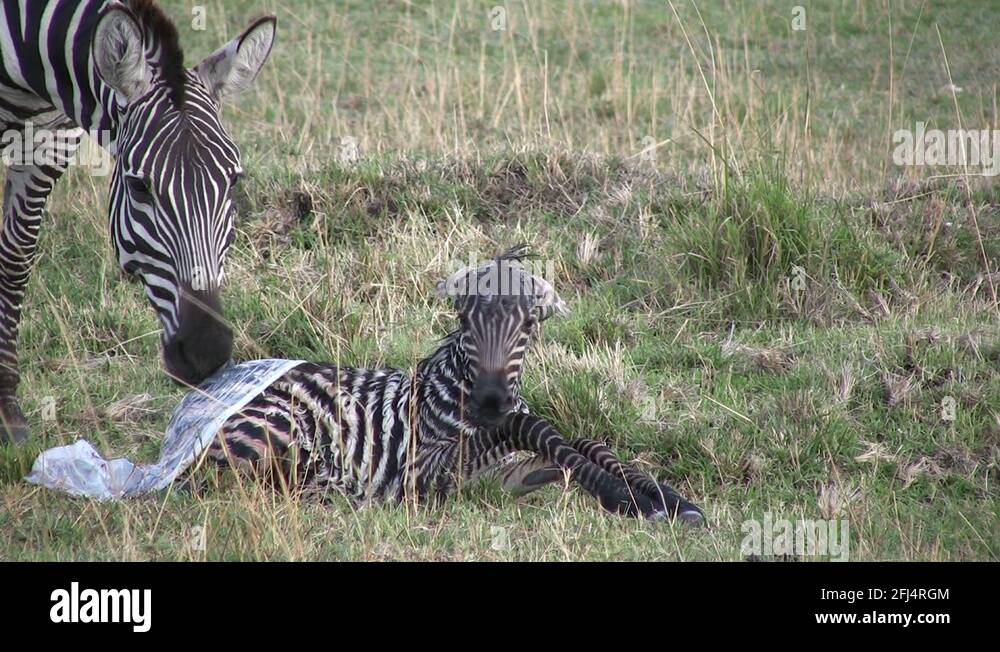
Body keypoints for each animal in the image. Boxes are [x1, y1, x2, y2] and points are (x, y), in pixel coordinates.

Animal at [0, 0, 276, 442]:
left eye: (234, 180)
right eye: (139, 186)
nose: (207, 352)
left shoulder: (50, 137)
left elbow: (16, 256)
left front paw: (7, 404)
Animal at [206, 247, 705, 524]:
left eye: (528, 324)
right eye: (464, 321)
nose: (491, 401)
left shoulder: (498, 472)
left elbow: (581, 443)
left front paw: (666, 497)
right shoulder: (420, 471)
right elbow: (536, 430)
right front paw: (623, 497)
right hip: (280, 433)